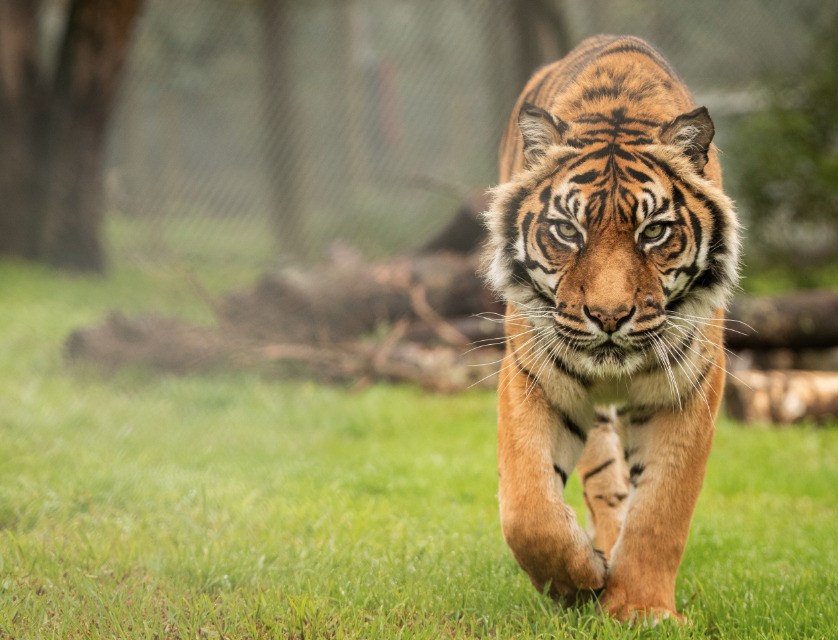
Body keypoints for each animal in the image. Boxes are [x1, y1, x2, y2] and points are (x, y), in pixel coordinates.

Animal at [481, 35, 740, 623]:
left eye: (654, 232)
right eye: (567, 231)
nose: (609, 316)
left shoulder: (689, 386)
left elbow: (662, 509)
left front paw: (642, 607)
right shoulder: (533, 374)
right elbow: (528, 511)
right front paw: (580, 582)